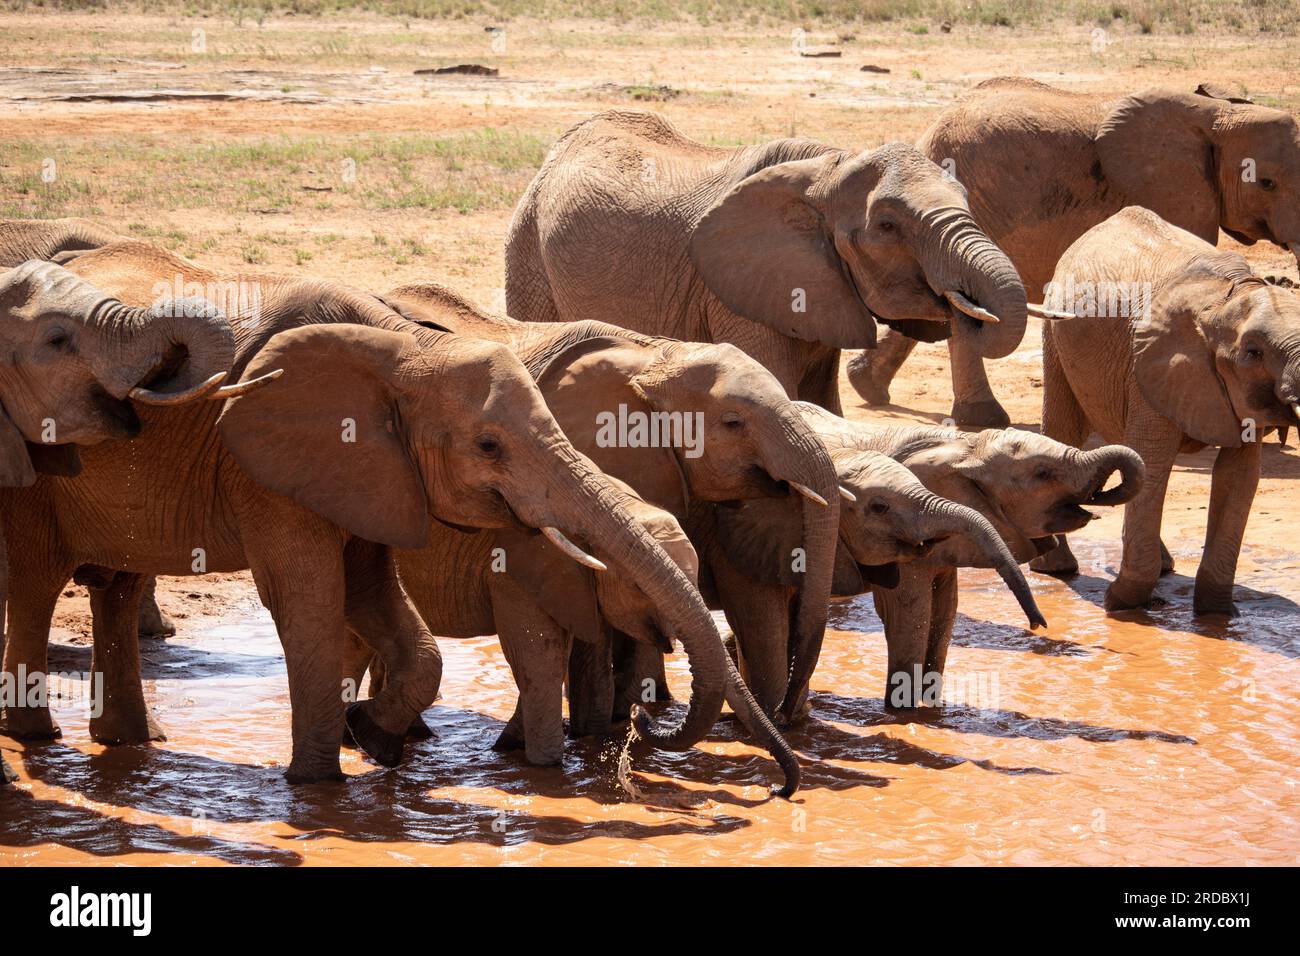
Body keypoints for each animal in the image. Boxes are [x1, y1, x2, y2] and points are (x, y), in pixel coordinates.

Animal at [504, 109, 1029, 425]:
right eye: (886, 226)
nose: (963, 301)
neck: (829, 170)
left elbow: (823, 403)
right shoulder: (736, 294)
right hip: (526, 244)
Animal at [791, 403, 1144, 705]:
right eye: (1043, 473)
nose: (1039, 624)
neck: (964, 445)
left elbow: (946, 610)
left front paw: (932, 708)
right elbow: (910, 612)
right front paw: (904, 714)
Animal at [1038, 206, 1300, 616]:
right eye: (1253, 352)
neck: (1224, 299)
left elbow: (1238, 475)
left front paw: (1217, 615)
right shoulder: (1150, 361)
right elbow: (1151, 460)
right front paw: (1122, 606)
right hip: (1055, 329)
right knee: (1064, 428)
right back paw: (1055, 569)